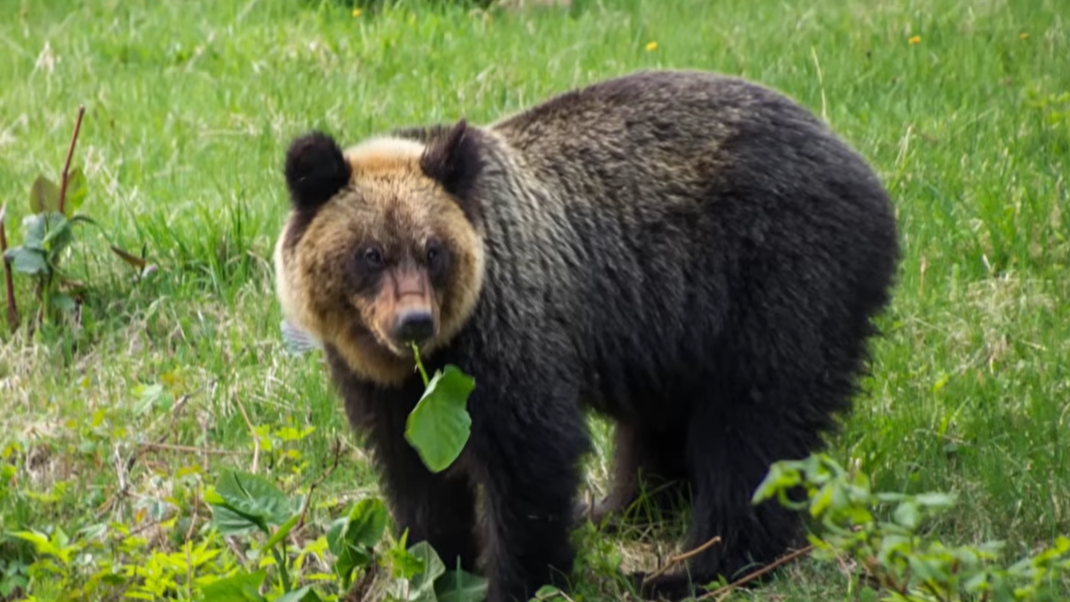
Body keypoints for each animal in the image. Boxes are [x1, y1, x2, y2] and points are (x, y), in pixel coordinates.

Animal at [273, 69, 900, 602]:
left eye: (433, 250)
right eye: (370, 254)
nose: (414, 323)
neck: (426, 360)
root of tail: (869, 176)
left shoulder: (508, 331)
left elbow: (530, 458)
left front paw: (520, 580)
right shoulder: (383, 386)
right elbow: (416, 476)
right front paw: (443, 566)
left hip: (778, 282)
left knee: (752, 431)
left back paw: (691, 570)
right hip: (676, 324)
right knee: (662, 428)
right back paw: (617, 510)